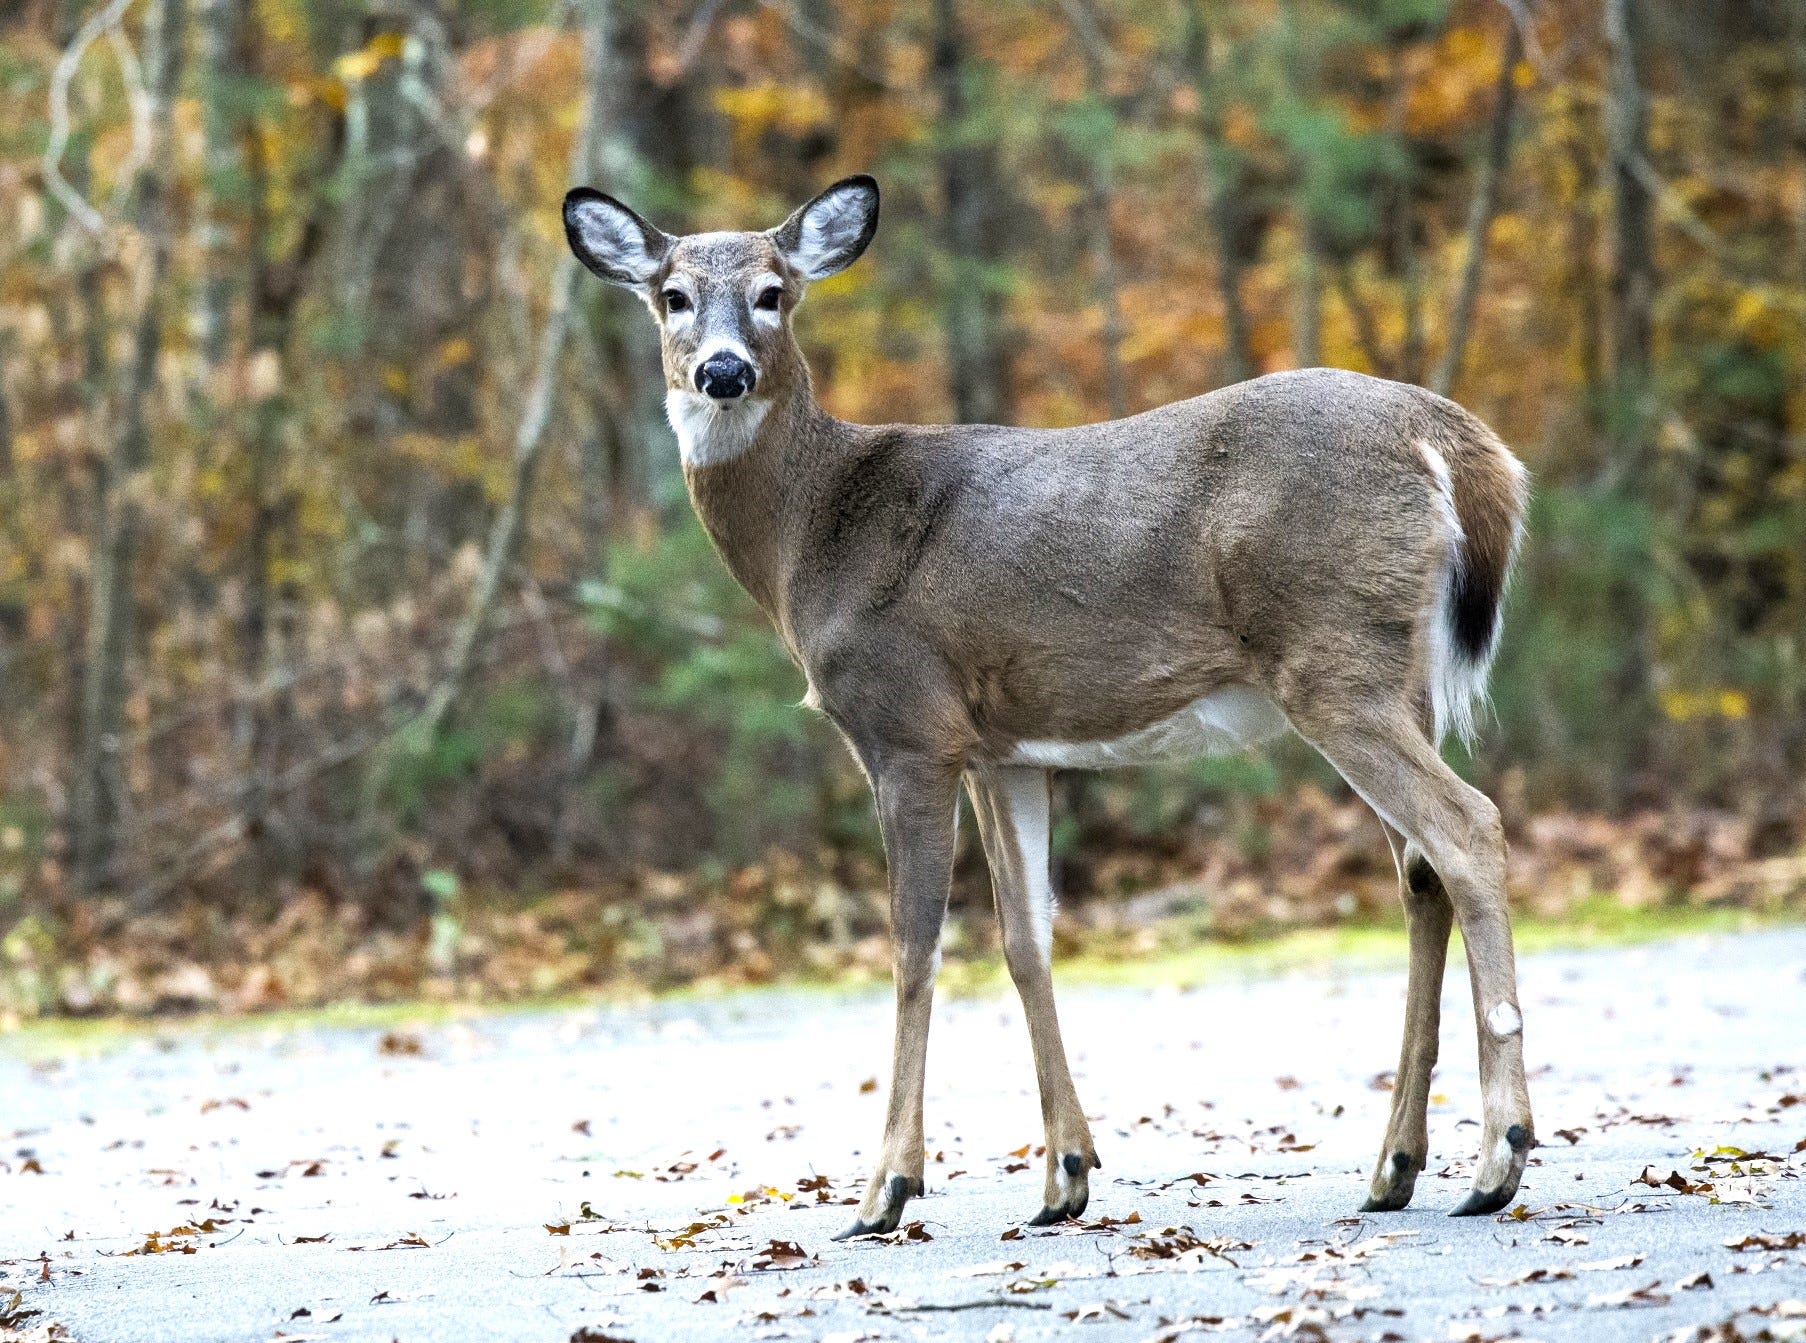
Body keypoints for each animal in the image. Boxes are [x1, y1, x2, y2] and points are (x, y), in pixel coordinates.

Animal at [562, 174, 1534, 1238]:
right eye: (673, 296)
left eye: (774, 292)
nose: (725, 371)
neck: (811, 536)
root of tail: (1461, 446)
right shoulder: (1001, 746)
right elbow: (1026, 938)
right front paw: (1065, 1174)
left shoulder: (907, 724)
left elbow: (912, 946)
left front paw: (884, 1188)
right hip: (1397, 676)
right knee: (1420, 869)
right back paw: (1394, 1164)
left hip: (1334, 661)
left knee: (1467, 826)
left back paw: (1499, 1157)